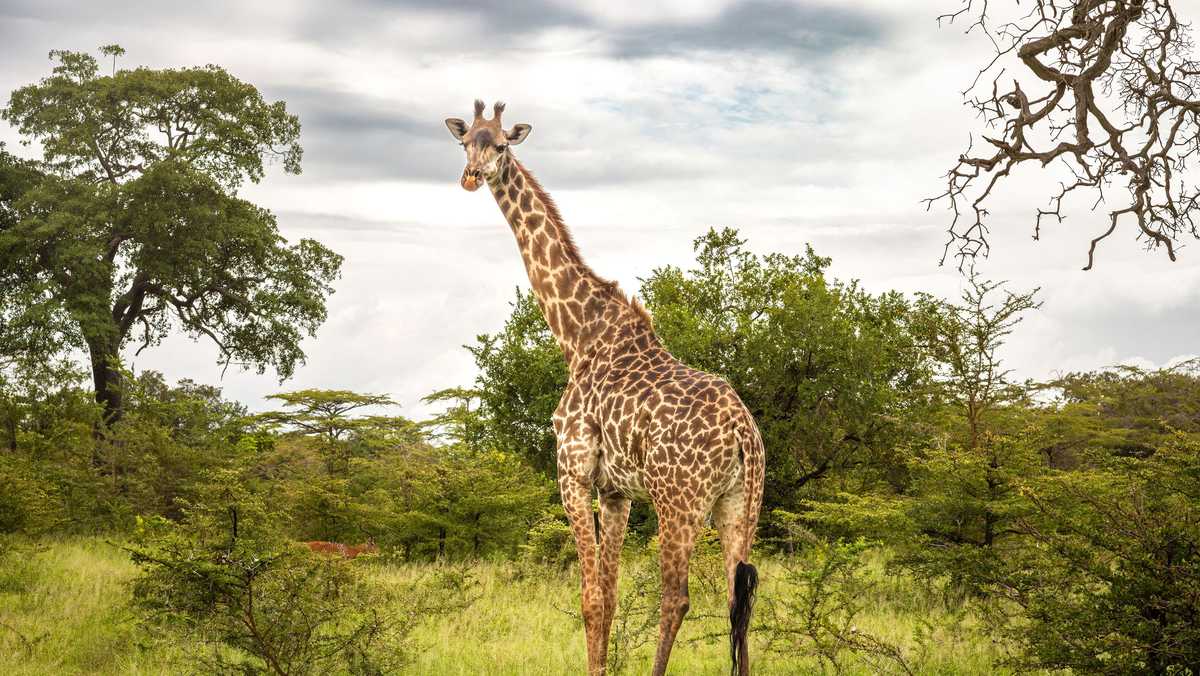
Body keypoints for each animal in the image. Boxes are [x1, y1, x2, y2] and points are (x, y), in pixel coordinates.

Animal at [444, 100, 765, 676]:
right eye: (465, 142)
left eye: (501, 144)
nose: (472, 176)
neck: (577, 334)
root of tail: (744, 435)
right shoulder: (616, 490)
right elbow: (611, 598)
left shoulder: (573, 472)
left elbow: (591, 600)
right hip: (739, 504)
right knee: (740, 601)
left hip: (679, 502)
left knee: (677, 597)